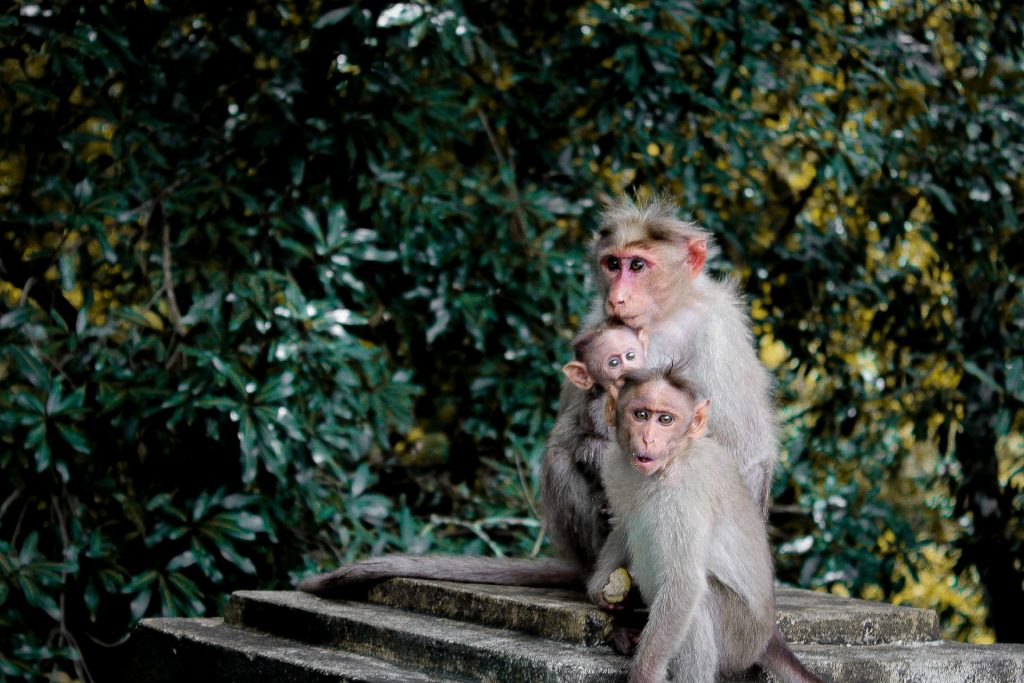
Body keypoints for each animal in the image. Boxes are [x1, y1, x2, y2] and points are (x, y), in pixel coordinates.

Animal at [589, 366, 819, 683]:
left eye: (665, 419)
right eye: (641, 414)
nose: (647, 439)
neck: (669, 463)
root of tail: (768, 637)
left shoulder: (687, 493)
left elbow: (684, 585)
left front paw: (643, 674)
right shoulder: (615, 464)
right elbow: (624, 525)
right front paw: (601, 588)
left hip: (739, 639)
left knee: (696, 603)